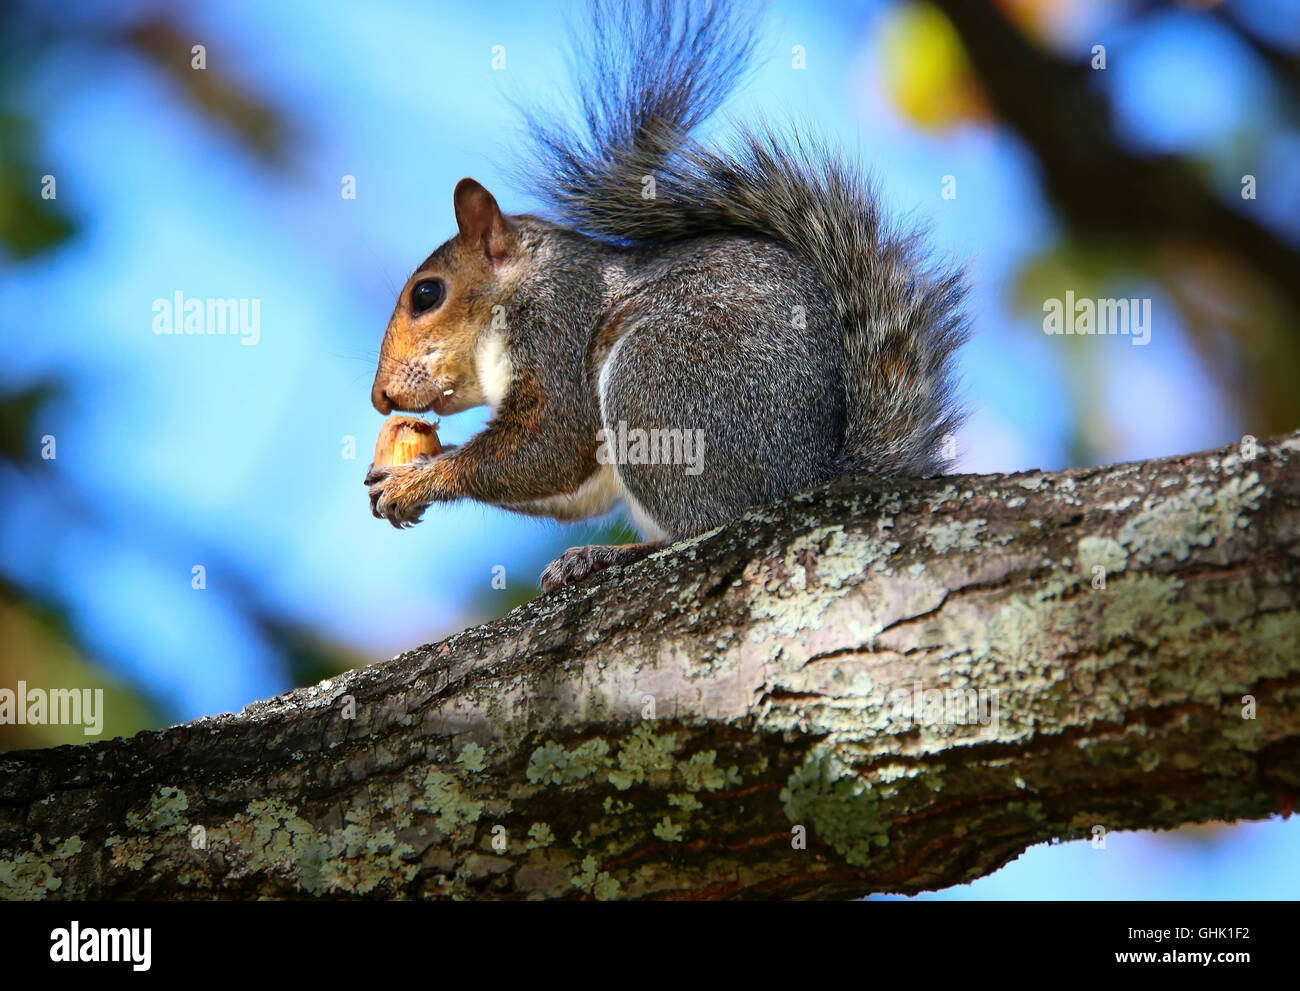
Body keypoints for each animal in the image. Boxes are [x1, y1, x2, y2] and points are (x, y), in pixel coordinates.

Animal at [365, 0, 968, 592]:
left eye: (426, 294)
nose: (381, 399)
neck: (522, 288)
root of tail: (806, 474)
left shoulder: (556, 327)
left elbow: (549, 448)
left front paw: (416, 478)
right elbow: (573, 484)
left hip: (658, 381)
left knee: (703, 524)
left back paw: (614, 554)